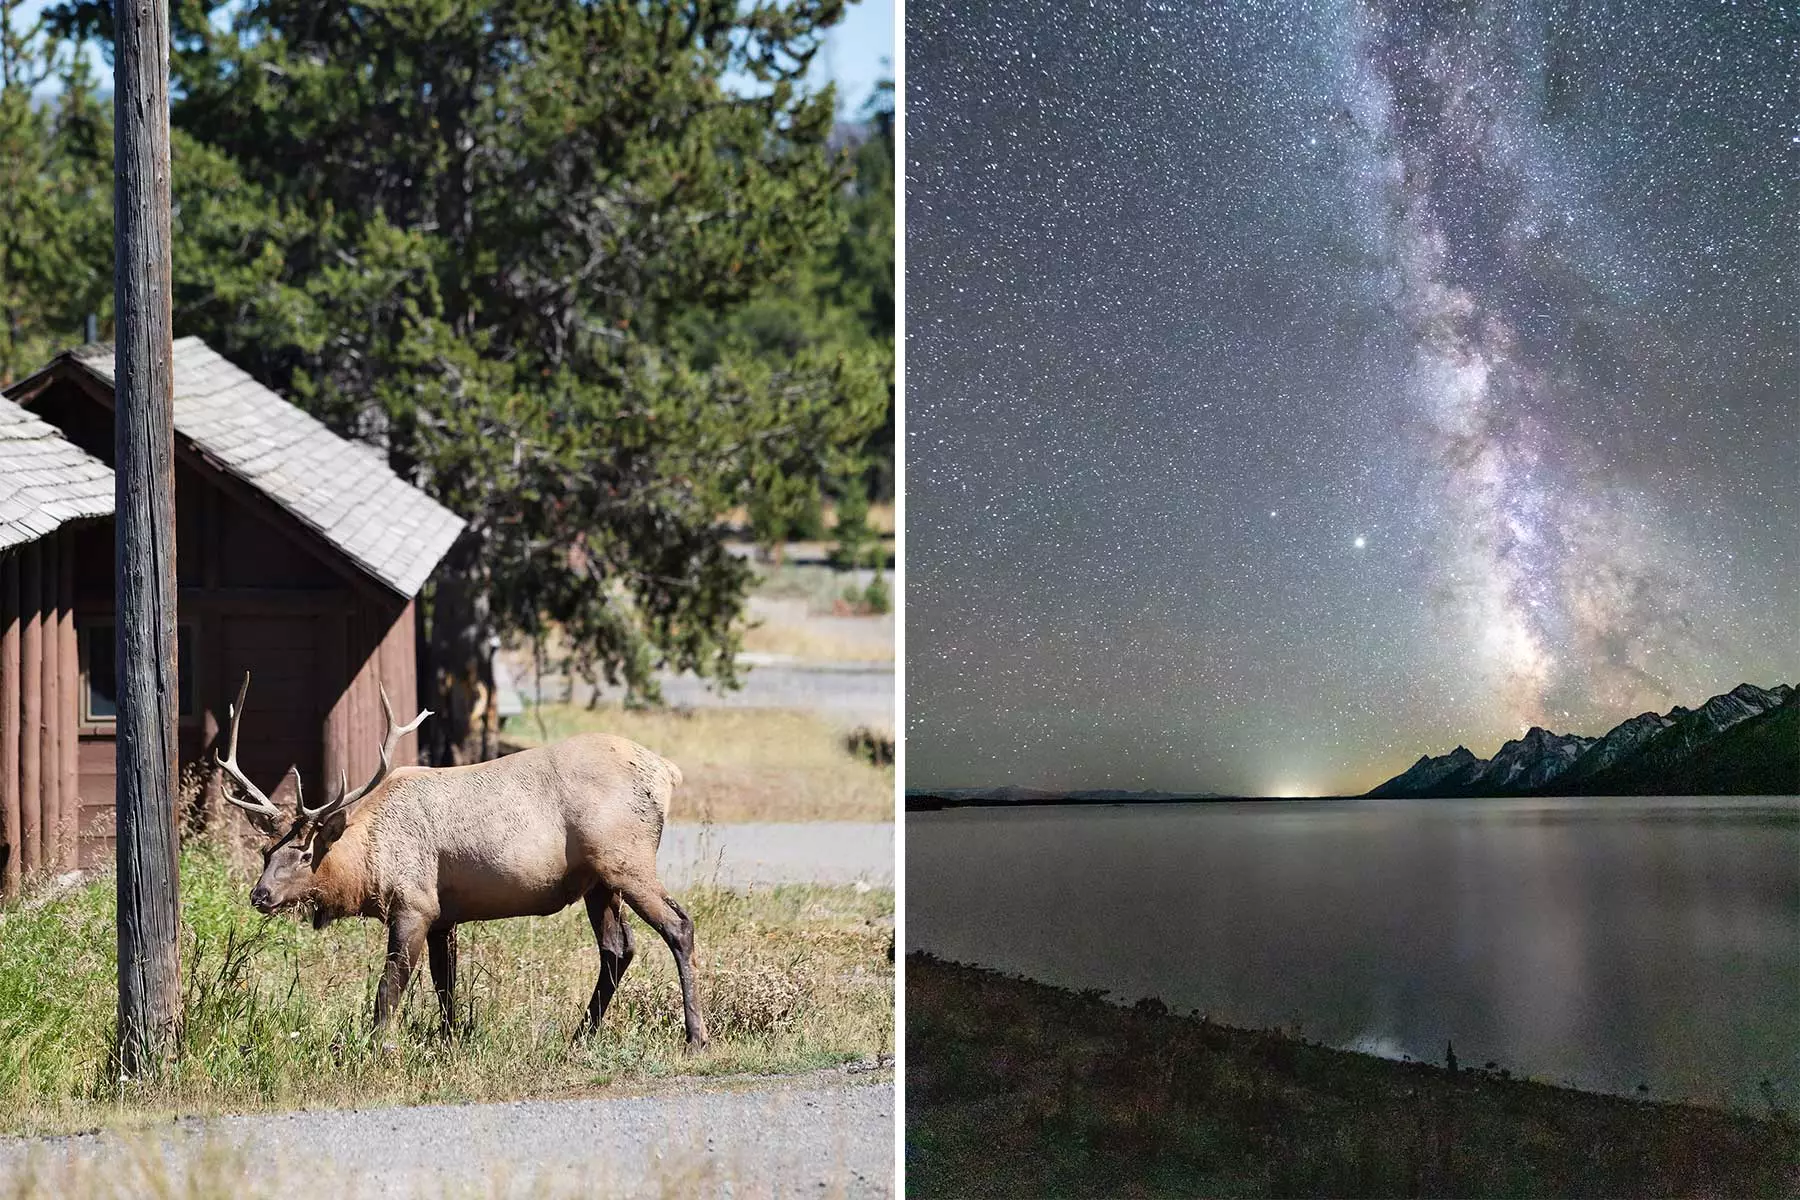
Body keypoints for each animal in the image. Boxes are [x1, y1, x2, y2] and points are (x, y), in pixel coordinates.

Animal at [214, 676, 705, 1050]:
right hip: (597, 880)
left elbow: (388, 988)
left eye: (304, 854)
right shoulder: (444, 915)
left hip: (627, 860)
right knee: (618, 949)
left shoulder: (414, 904)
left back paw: (694, 1036)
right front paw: (450, 1041)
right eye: (266, 852)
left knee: (678, 926)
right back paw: (580, 1035)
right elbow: (444, 985)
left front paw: (378, 1047)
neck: (368, 865)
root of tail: (668, 771)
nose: (260, 894)